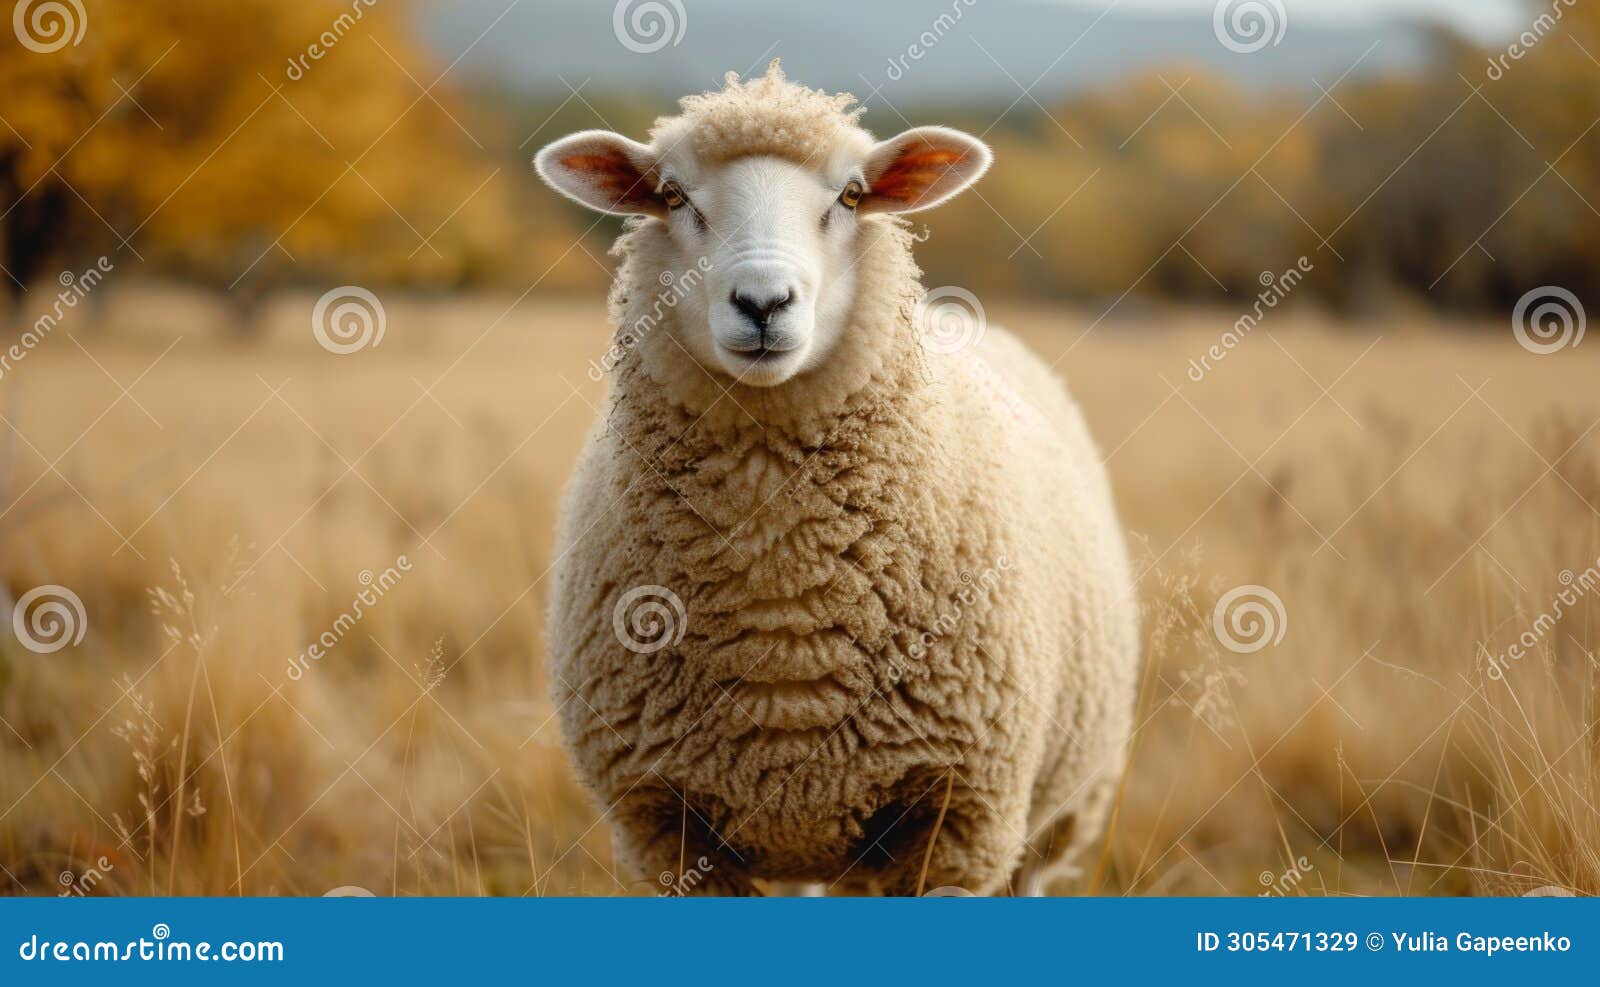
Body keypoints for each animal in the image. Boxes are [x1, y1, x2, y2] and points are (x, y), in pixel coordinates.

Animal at [535, 62, 1140, 896]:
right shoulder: (662, 821)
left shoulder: (958, 818)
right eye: (673, 195)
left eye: (852, 196)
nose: (763, 302)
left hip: (1047, 818)